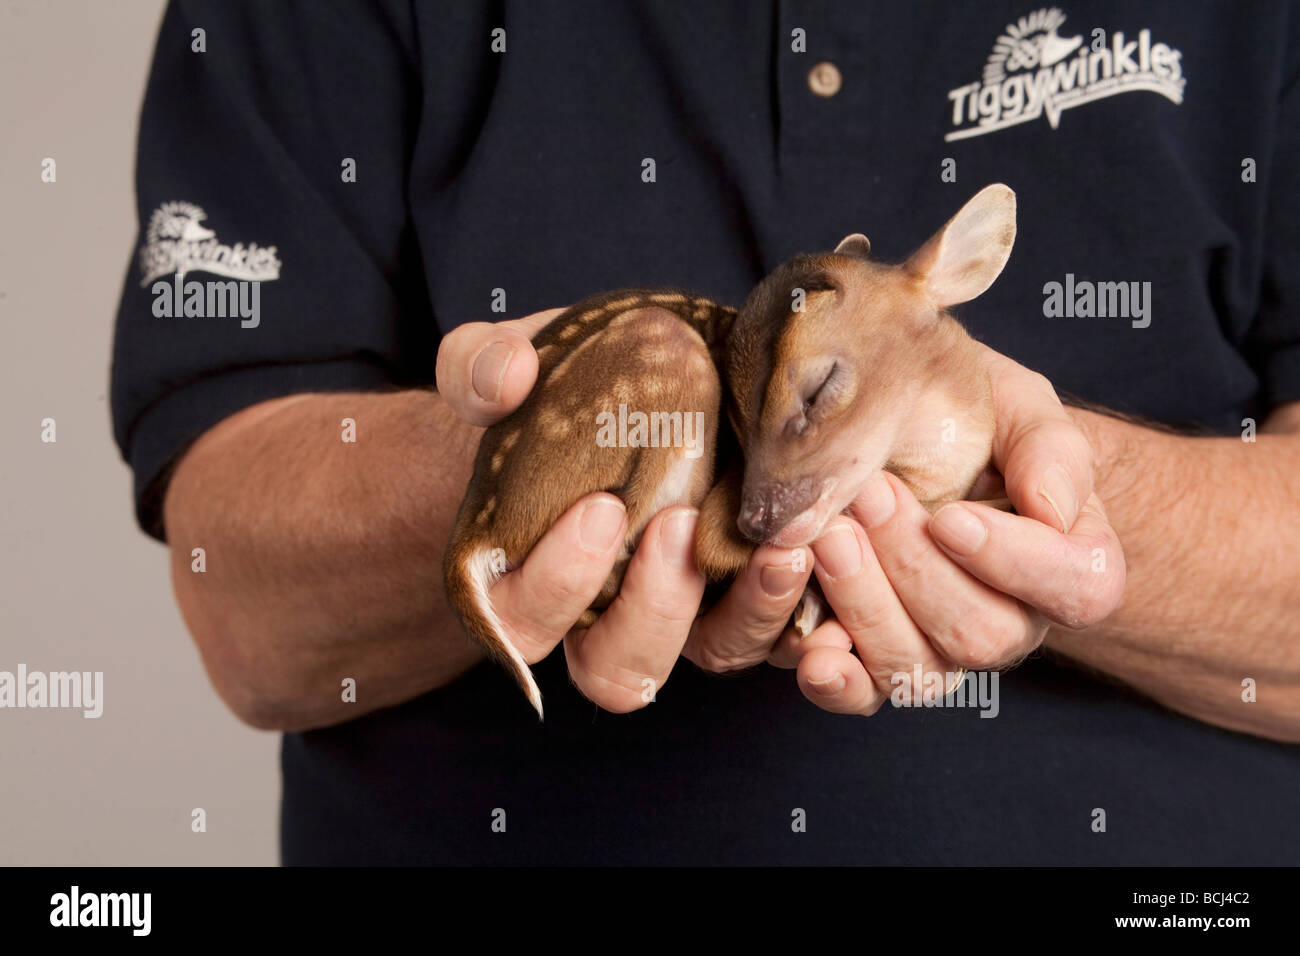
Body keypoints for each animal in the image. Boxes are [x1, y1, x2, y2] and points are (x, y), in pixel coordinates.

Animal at [444, 184, 1018, 718]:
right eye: (737, 429)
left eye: (818, 389)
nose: (754, 523)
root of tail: (478, 528)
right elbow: (716, 549)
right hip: (662, 353)